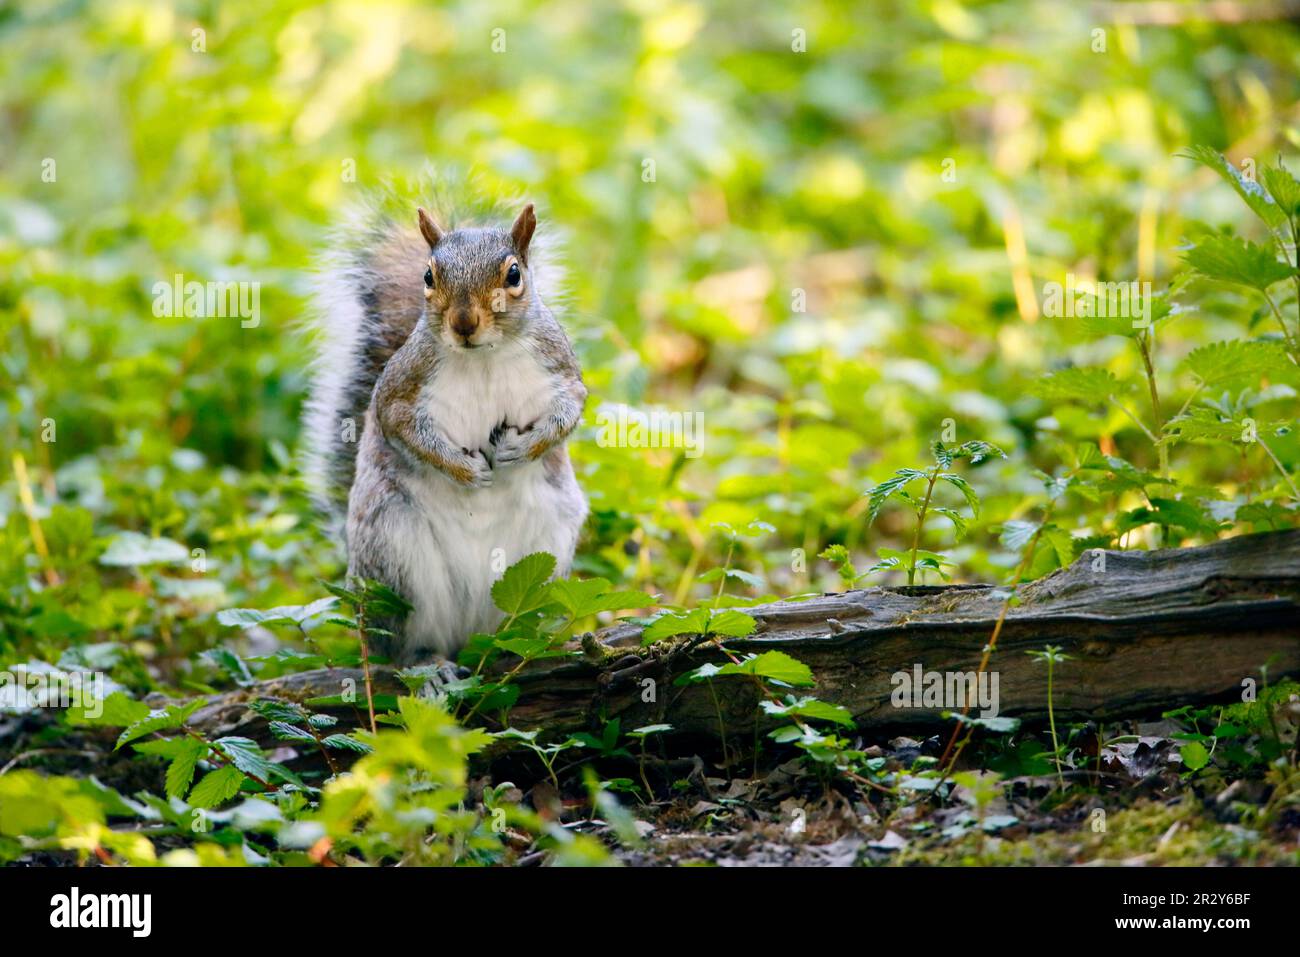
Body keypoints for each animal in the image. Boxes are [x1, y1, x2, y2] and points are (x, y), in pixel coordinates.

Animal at [303, 187, 588, 664]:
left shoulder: (561, 372)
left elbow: (567, 415)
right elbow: (400, 427)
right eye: (428, 276)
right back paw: (429, 664)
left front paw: (520, 449)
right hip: (394, 554)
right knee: (402, 645)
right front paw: (464, 470)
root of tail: (467, 634)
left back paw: (522, 647)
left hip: (548, 548)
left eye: (514, 275)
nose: (464, 323)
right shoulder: (400, 389)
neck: (484, 356)